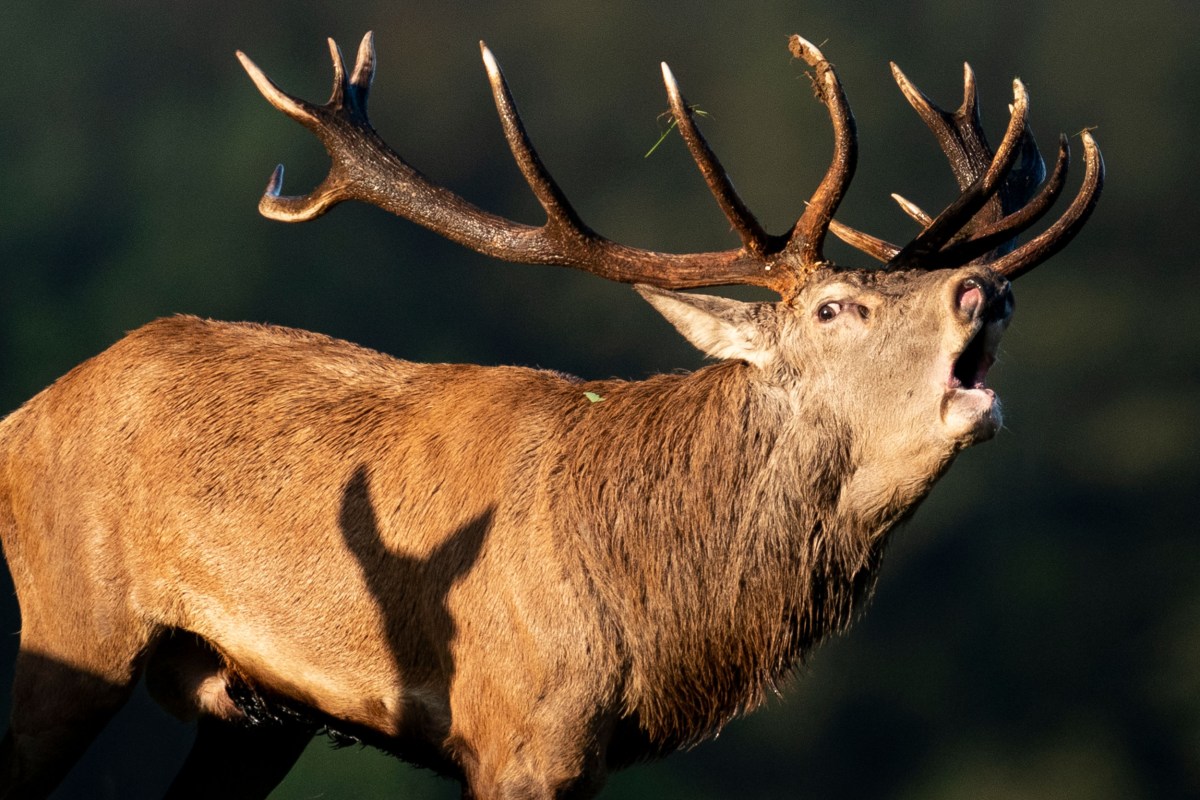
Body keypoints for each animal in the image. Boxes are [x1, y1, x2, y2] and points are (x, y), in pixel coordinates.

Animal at [0, 31, 1101, 800]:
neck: (652, 607)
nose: (987, 289)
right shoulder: (522, 729)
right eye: (836, 307)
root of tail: (21, 417)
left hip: (250, 709)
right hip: (72, 618)